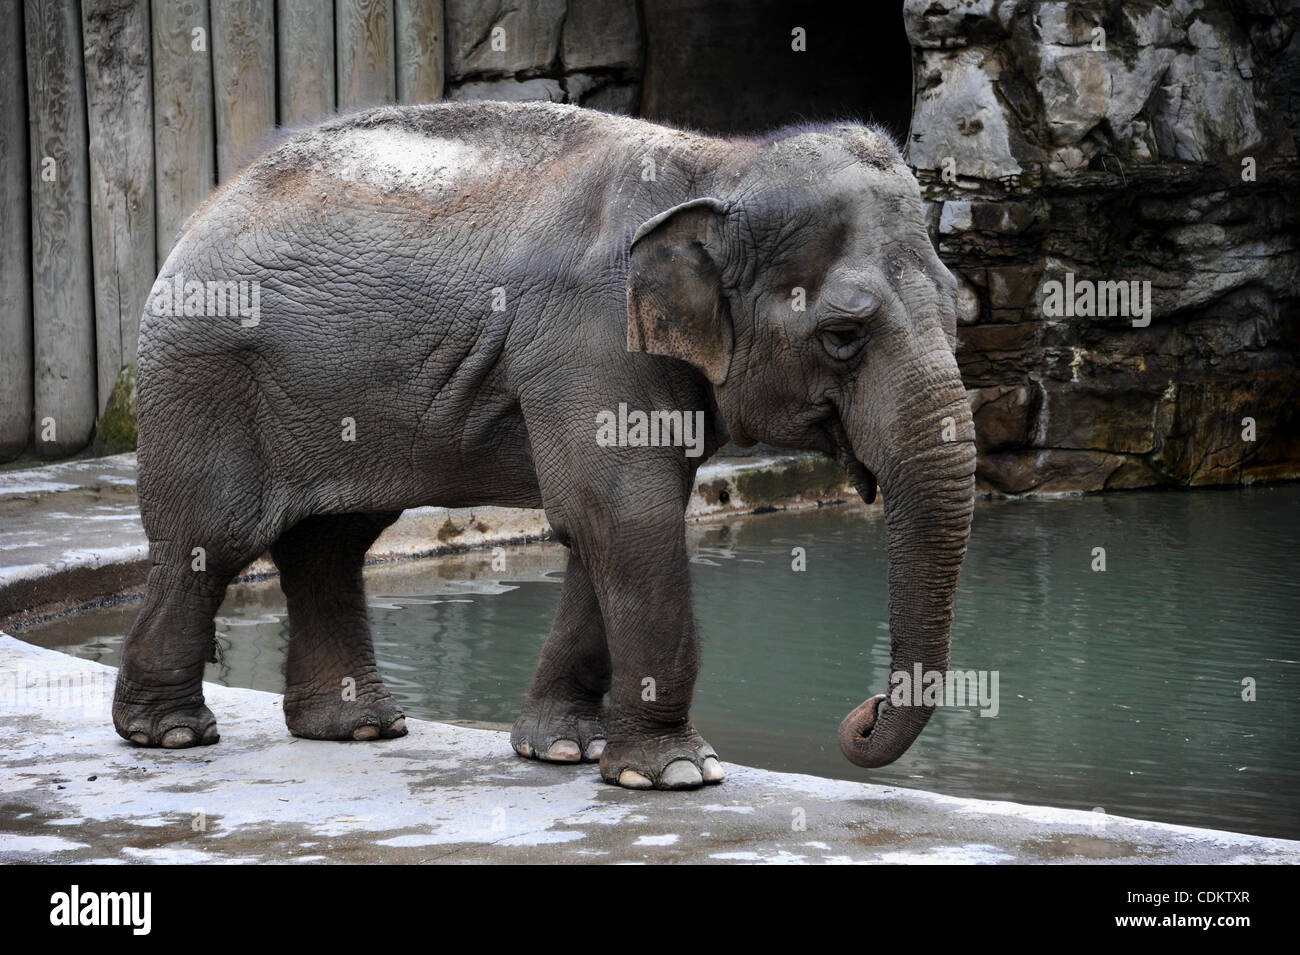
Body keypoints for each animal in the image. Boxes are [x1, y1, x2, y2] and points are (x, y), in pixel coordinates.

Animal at [112, 101, 976, 790]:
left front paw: (564, 751)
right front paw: (677, 775)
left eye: (958, 310)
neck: (718, 162)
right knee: (209, 542)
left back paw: (357, 728)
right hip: (203, 379)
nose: (860, 716)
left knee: (331, 543)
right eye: (842, 336)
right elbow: (624, 514)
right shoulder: (585, 338)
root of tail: (205, 205)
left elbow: (605, 525)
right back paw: (172, 733)